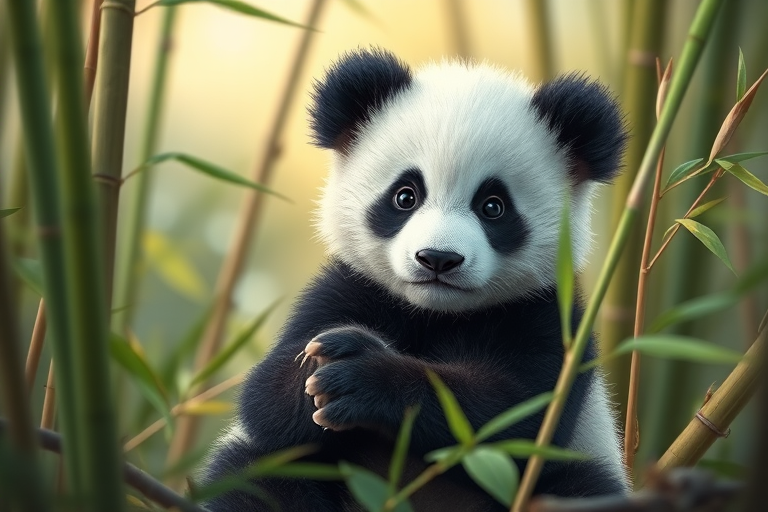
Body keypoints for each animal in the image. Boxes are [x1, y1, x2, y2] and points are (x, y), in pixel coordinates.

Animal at [201, 48, 629, 511]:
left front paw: (362, 375)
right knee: (255, 474)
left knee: (579, 486)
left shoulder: (548, 320)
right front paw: (317, 364)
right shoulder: (347, 288)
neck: (434, 313)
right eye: (405, 195)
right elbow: (265, 401)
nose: (438, 259)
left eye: (493, 206)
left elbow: (514, 416)